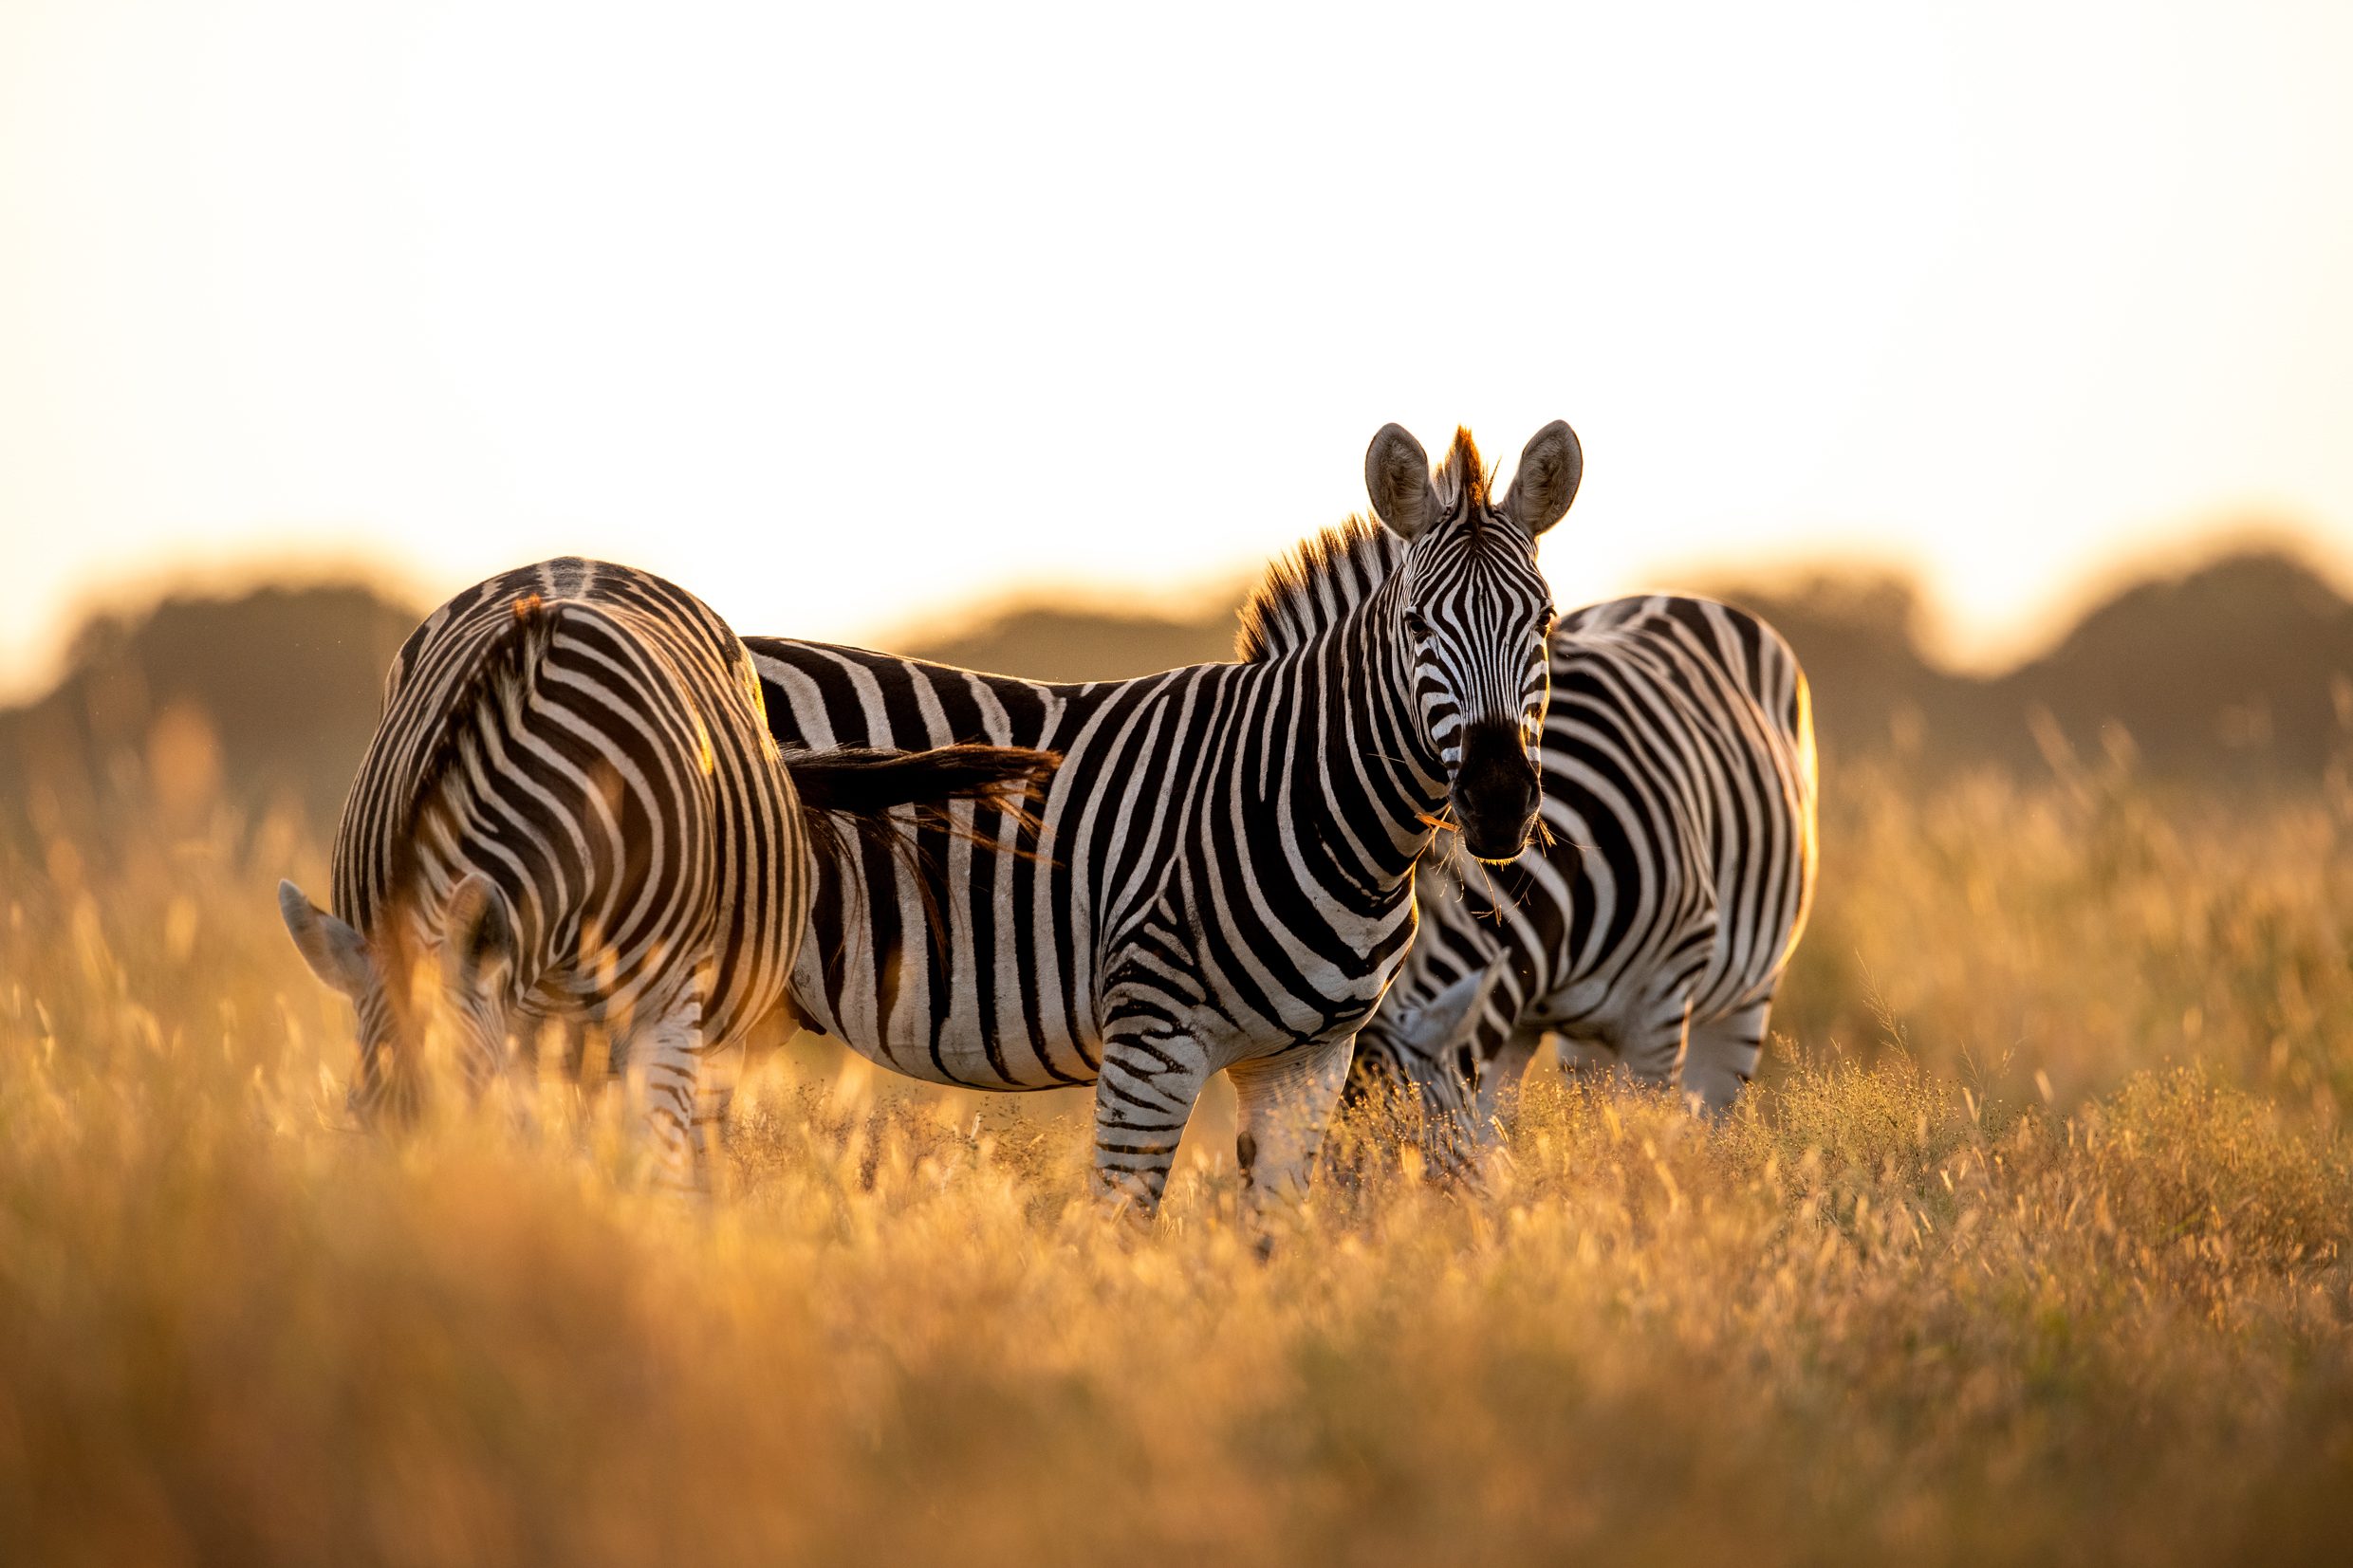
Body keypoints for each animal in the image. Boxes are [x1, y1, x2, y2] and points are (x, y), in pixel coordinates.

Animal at [745, 421, 1583, 1219]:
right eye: (1415, 625)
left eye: (1544, 621)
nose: (1499, 799)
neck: (1303, 796)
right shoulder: (1153, 1039)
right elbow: (1122, 1223)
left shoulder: (1309, 1062)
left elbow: (1276, 1232)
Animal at [1347, 594, 1818, 1168]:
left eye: (1407, 1165)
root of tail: (1670, 598)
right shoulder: (1508, 1021)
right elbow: (1501, 1136)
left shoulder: (1658, 1015)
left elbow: (1641, 1148)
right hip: (1584, 1043)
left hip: (1748, 995)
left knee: (1710, 1115)